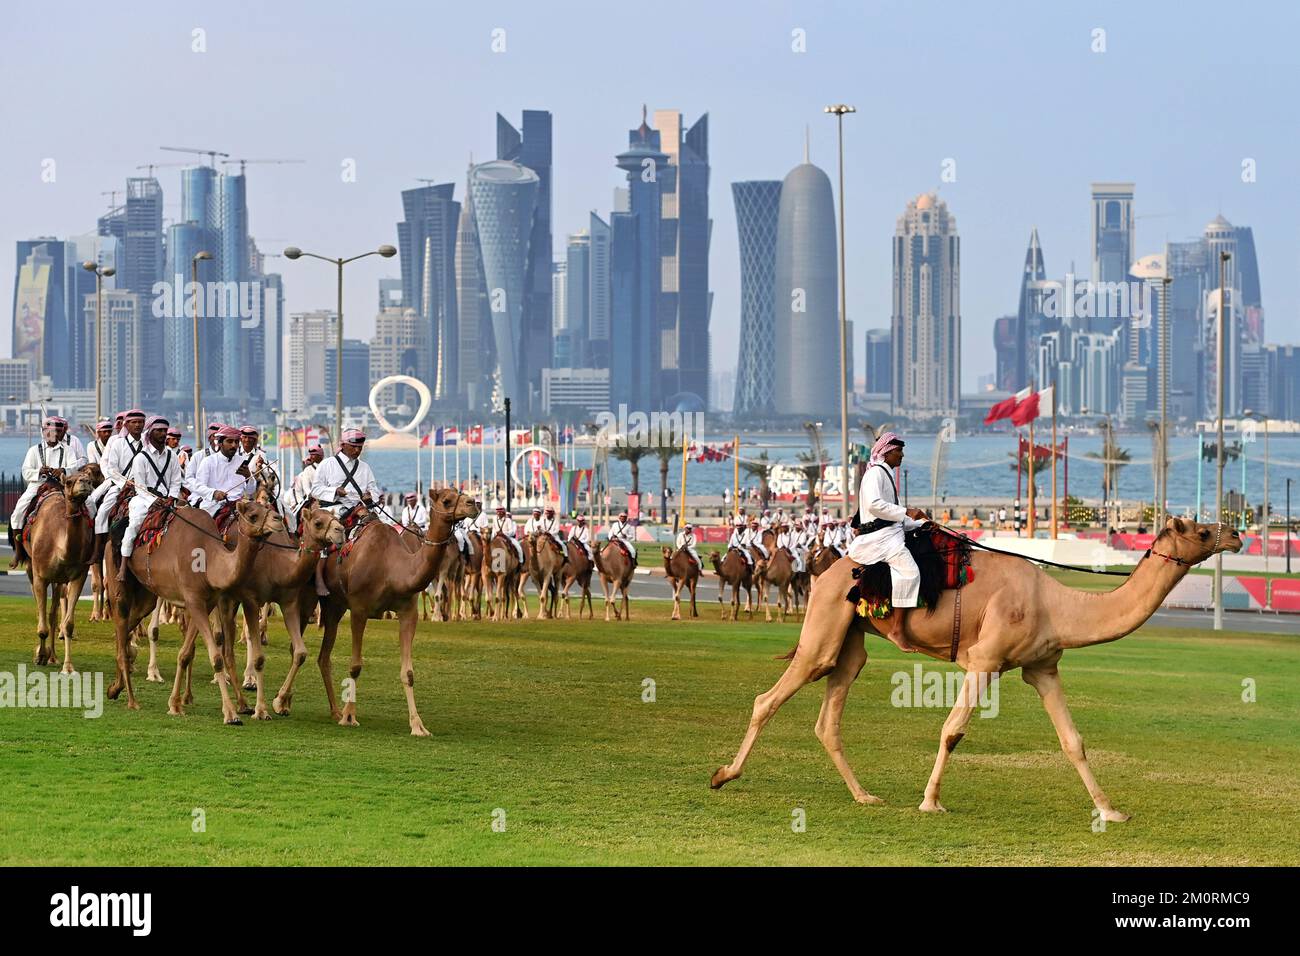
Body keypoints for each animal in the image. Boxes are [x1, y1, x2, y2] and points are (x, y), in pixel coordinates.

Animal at [23, 468, 97, 672]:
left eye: (88, 479)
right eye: (70, 481)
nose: (85, 482)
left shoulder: (78, 576)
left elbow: (68, 624)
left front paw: (68, 666)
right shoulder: (40, 575)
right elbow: (42, 627)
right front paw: (40, 656)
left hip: (58, 580)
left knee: (53, 613)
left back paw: (53, 656)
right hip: (32, 568)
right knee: (42, 611)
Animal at [105, 499, 285, 723]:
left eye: (268, 508)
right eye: (253, 515)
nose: (278, 520)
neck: (208, 558)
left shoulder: (204, 603)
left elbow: (185, 653)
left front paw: (175, 704)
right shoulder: (194, 600)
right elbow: (216, 658)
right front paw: (231, 714)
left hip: (146, 594)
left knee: (123, 632)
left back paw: (115, 688)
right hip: (117, 581)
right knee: (121, 623)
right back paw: (132, 700)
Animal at [213, 505, 345, 719]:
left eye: (337, 519)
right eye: (318, 522)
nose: (340, 531)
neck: (277, 563)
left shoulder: (289, 602)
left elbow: (300, 652)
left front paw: (279, 701)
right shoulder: (251, 600)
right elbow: (259, 657)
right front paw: (261, 709)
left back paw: (242, 703)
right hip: (226, 598)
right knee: (225, 645)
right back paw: (239, 701)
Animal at [304, 488, 479, 735]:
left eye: (460, 493)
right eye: (446, 500)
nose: (474, 503)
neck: (392, 569)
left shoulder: (407, 612)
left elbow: (408, 673)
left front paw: (418, 725)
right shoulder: (359, 608)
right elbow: (355, 665)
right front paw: (349, 716)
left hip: (337, 606)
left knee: (323, 657)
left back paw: (333, 711)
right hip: (332, 605)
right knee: (320, 653)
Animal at [710, 518, 1243, 821]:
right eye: (1200, 531)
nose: (1236, 533)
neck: (1056, 605)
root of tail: (825, 573)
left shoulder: (1042, 667)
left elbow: (1073, 741)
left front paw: (1111, 812)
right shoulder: (986, 660)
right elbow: (952, 730)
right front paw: (930, 803)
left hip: (851, 641)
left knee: (829, 716)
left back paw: (865, 797)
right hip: (823, 628)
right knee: (770, 697)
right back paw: (722, 775)